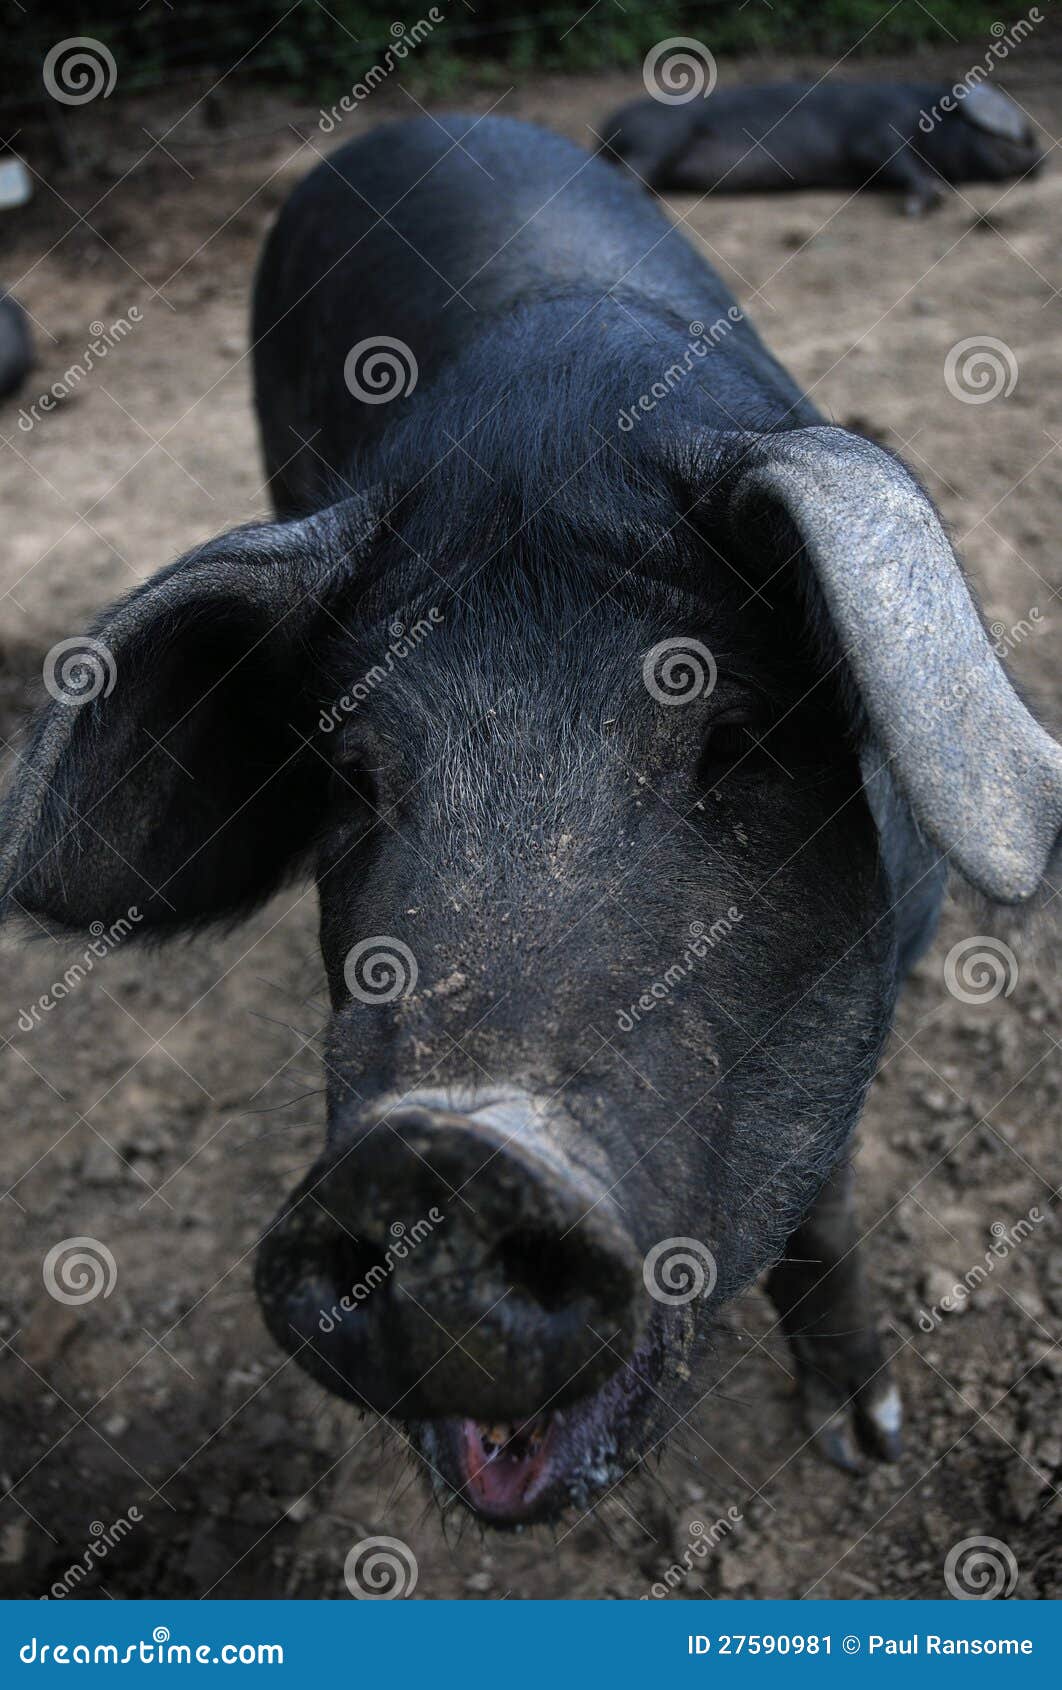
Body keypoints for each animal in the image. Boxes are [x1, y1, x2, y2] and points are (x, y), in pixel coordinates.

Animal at [599, 80, 1045, 214]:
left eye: (1025, 134)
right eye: (989, 130)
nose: (1040, 155)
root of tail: (608, 124)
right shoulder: (872, 133)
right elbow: (888, 155)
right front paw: (927, 201)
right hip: (662, 136)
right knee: (631, 172)